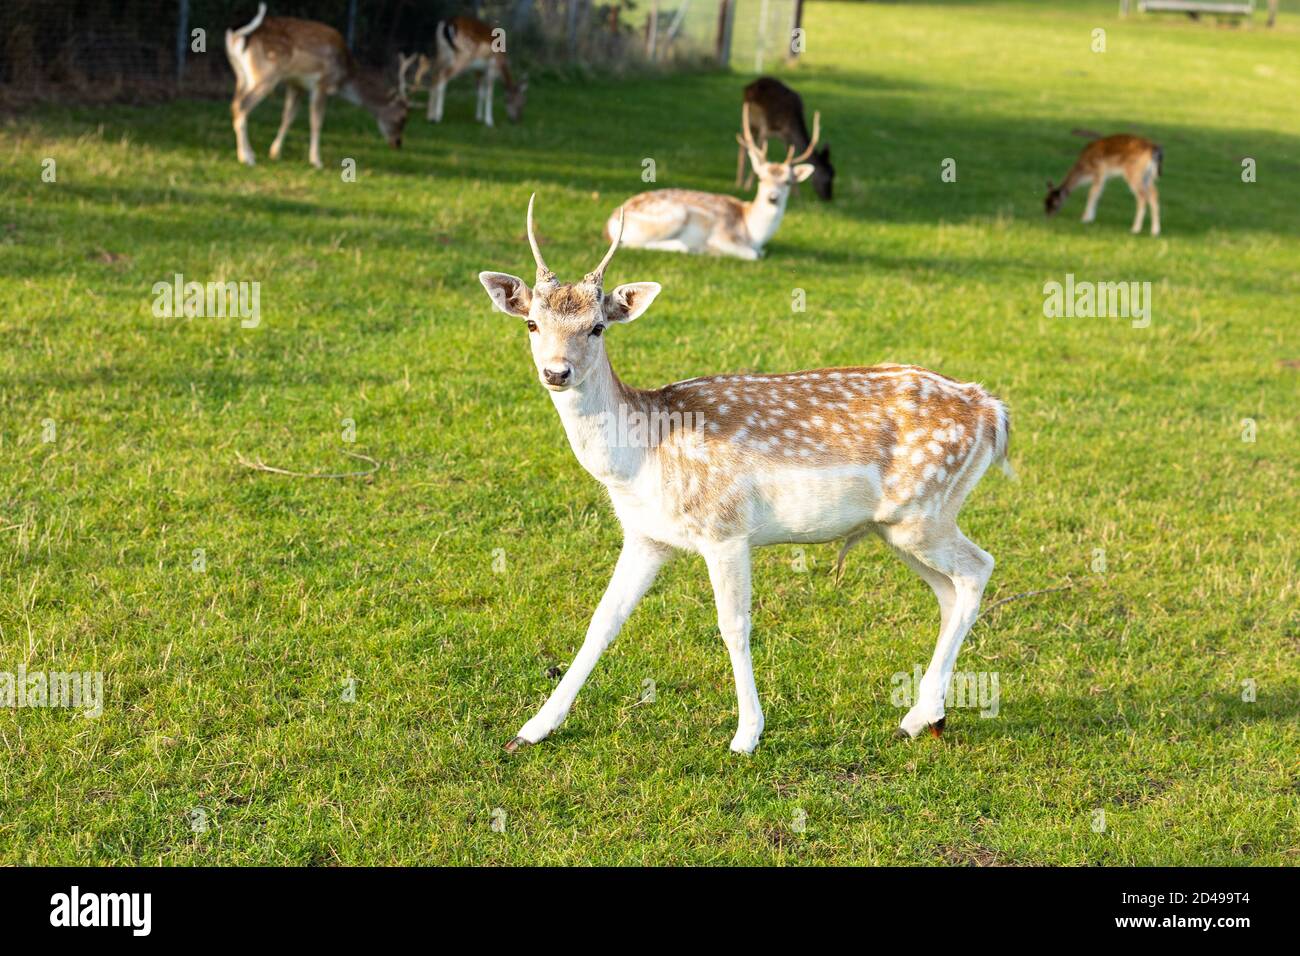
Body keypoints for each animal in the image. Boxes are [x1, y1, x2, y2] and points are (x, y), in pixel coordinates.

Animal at [224, 3, 408, 169]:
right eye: (402, 117)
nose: (397, 143)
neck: (345, 76)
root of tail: (237, 34)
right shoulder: (322, 83)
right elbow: (316, 122)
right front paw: (316, 161)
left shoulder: (295, 84)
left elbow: (288, 117)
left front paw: (275, 153)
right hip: (266, 73)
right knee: (241, 106)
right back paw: (247, 158)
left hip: (242, 76)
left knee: (235, 104)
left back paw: (248, 154)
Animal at [480, 196, 1011, 755]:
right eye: (532, 323)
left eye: (597, 327)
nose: (556, 372)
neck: (640, 458)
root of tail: (994, 411)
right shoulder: (646, 536)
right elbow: (602, 620)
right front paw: (532, 728)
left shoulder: (726, 528)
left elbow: (733, 625)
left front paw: (747, 734)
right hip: (898, 527)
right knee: (949, 592)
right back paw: (925, 716)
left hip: (925, 513)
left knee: (978, 568)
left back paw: (921, 713)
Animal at [609, 103, 819, 261]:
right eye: (761, 178)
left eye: (788, 181)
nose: (773, 198)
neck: (753, 233)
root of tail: (609, 222)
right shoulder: (722, 234)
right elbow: (753, 254)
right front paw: (712, 249)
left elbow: (761, 252)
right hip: (675, 214)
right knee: (631, 243)